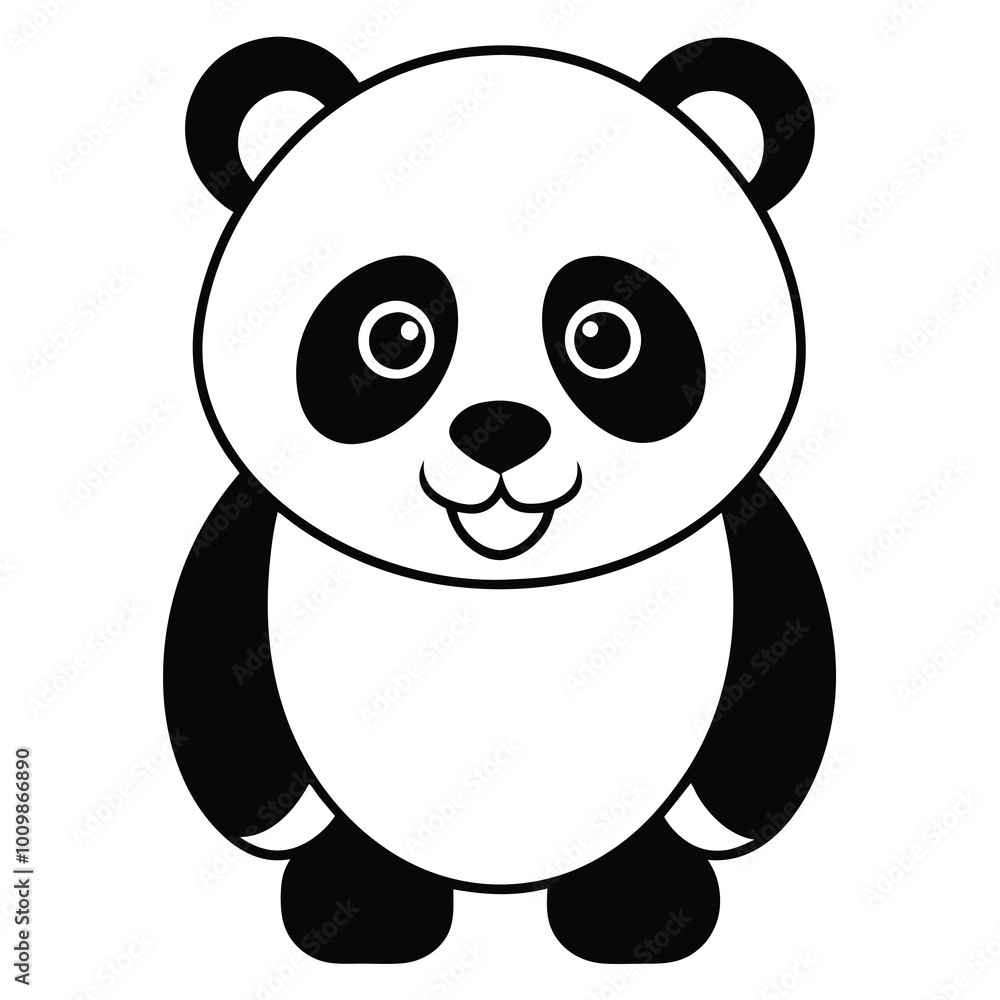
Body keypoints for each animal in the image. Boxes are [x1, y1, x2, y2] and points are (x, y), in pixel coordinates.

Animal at [165, 36, 835, 965]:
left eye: (604, 334)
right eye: (394, 335)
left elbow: (780, 679)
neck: (502, 580)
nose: (499, 430)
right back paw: (363, 915)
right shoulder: (253, 531)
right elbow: (220, 689)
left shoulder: (745, 530)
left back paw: (637, 914)